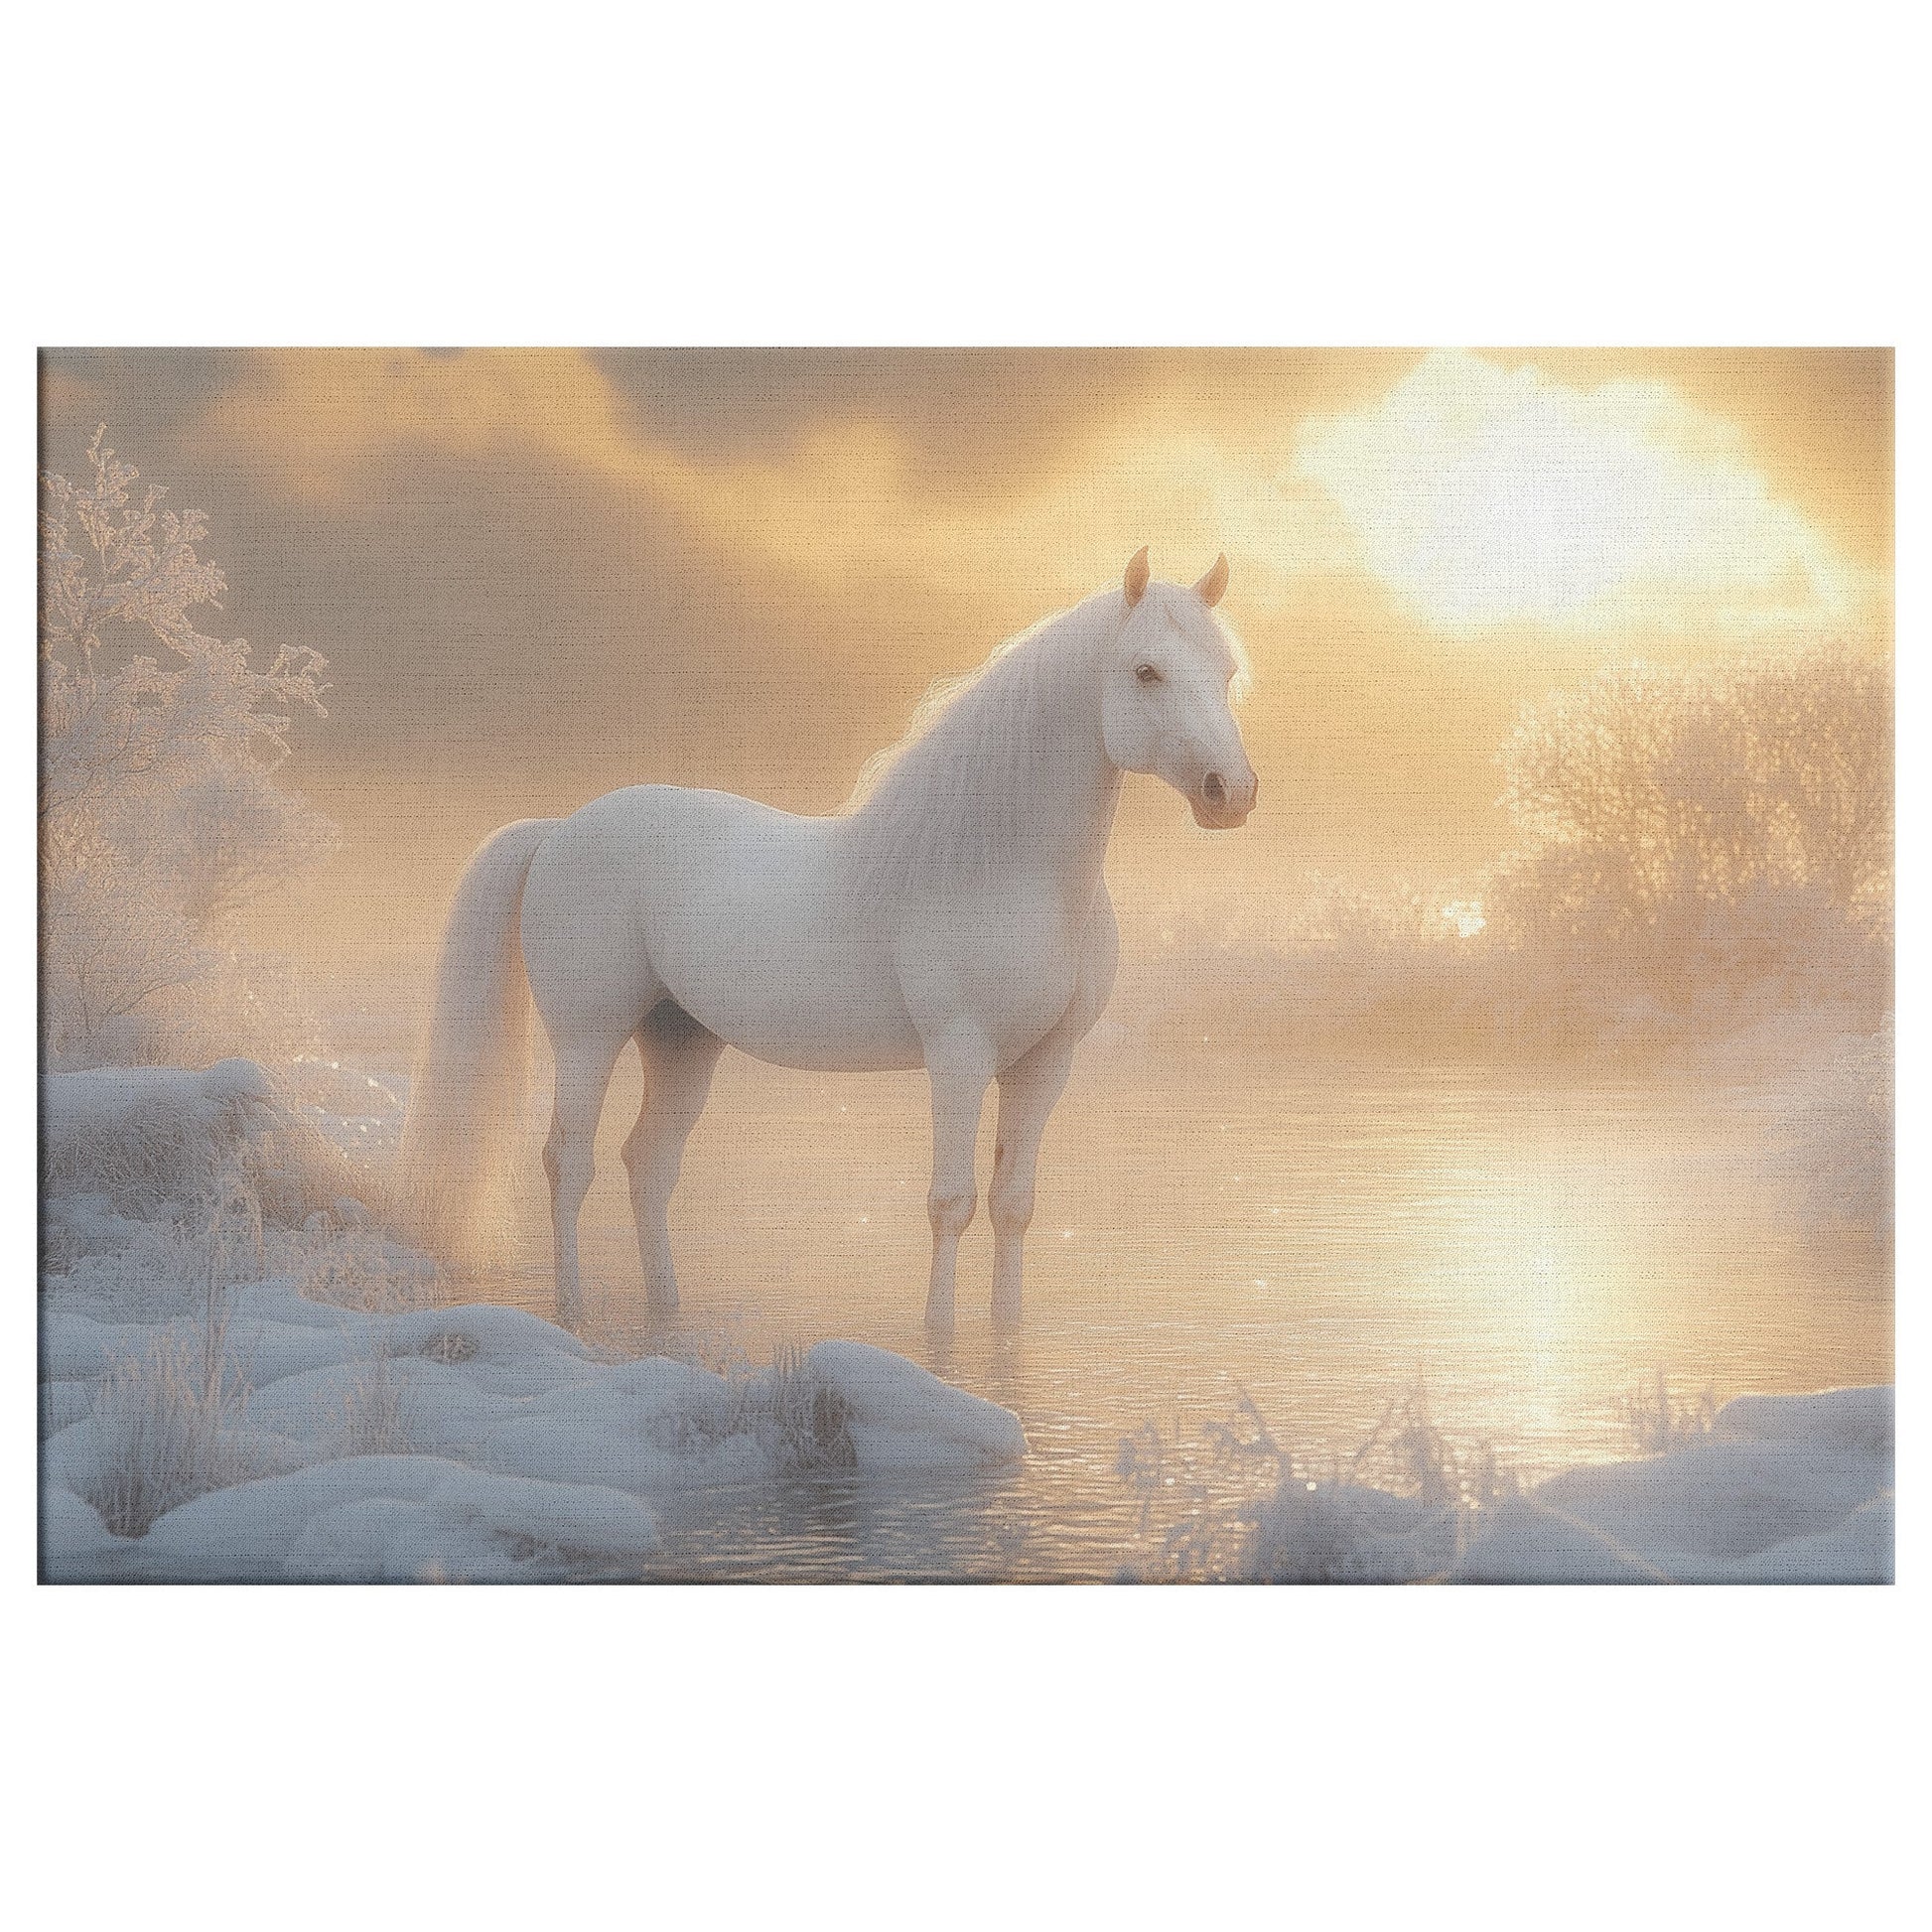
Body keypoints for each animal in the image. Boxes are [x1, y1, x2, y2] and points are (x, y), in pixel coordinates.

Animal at [398, 549, 1258, 1332]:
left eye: (1224, 672)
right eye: (1146, 671)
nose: (1233, 794)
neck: (1005, 866)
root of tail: (559, 830)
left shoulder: (1046, 1063)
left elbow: (1014, 1204)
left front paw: (1005, 1338)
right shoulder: (960, 1054)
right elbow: (952, 1202)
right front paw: (940, 1337)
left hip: (681, 1040)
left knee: (648, 1166)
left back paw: (667, 1311)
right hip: (588, 1038)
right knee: (568, 1164)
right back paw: (572, 1311)